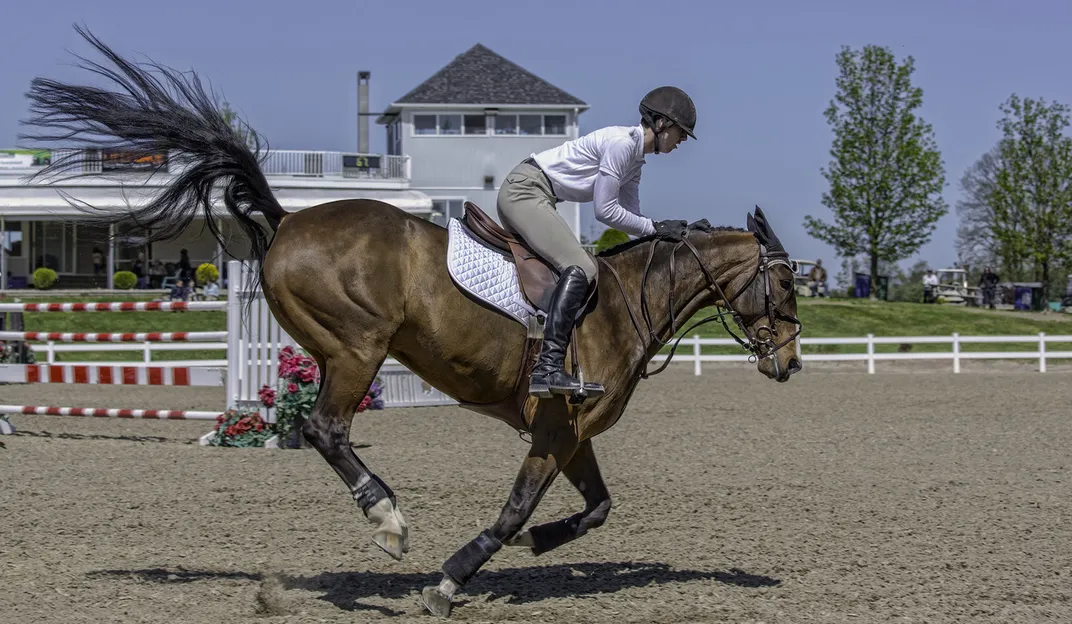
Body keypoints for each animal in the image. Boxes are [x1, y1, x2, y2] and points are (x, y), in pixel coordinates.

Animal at [21, 26, 803, 617]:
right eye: (789, 280)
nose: (791, 363)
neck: (621, 303)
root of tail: (288, 219)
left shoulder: (573, 432)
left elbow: (597, 508)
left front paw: (534, 549)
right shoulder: (554, 425)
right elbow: (518, 507)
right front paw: (452, 578)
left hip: (336, 349)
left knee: (325, 428)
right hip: (357, 347)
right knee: (323, 428)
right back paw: (389, 522)